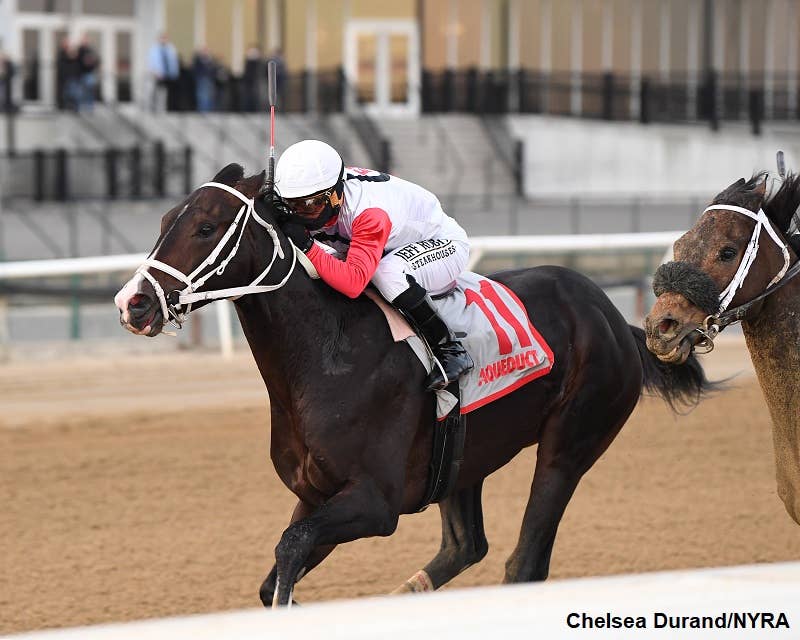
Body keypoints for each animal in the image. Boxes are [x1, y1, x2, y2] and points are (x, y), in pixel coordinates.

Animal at [114, 163, 712, 607]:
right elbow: (276, 573)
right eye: (165, 220)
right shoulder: (316, 494)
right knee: (467, 545)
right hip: (463, 458)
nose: (132, 304)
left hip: (569, 445)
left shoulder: (375, 502)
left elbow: (289, 551)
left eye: (206, 227)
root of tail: (613, 318)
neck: (328, 356)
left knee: (524, 561)